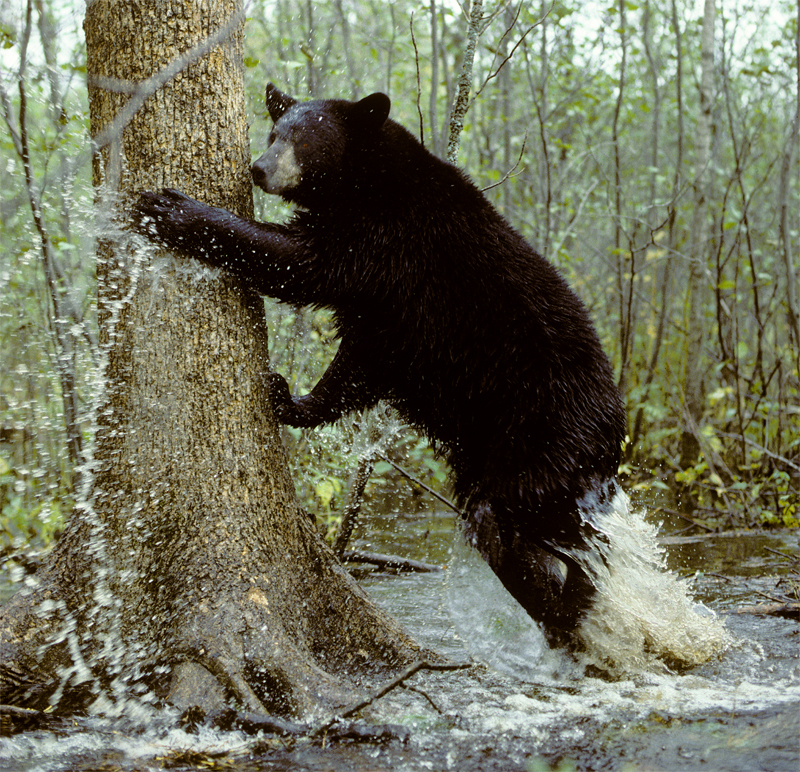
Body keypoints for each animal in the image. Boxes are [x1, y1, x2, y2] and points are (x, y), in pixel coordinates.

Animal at [133, 83, 627, 648]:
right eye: (275, 132)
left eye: (304, 139)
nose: (259, 168)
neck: (369, 180)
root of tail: (614, 430)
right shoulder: (385, 316)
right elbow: (355, 370)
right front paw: (287, 397)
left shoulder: (385, 240)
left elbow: (297, 261)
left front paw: (170, 209)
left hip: (542, 442)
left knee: (509, 525)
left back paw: (560, 610)